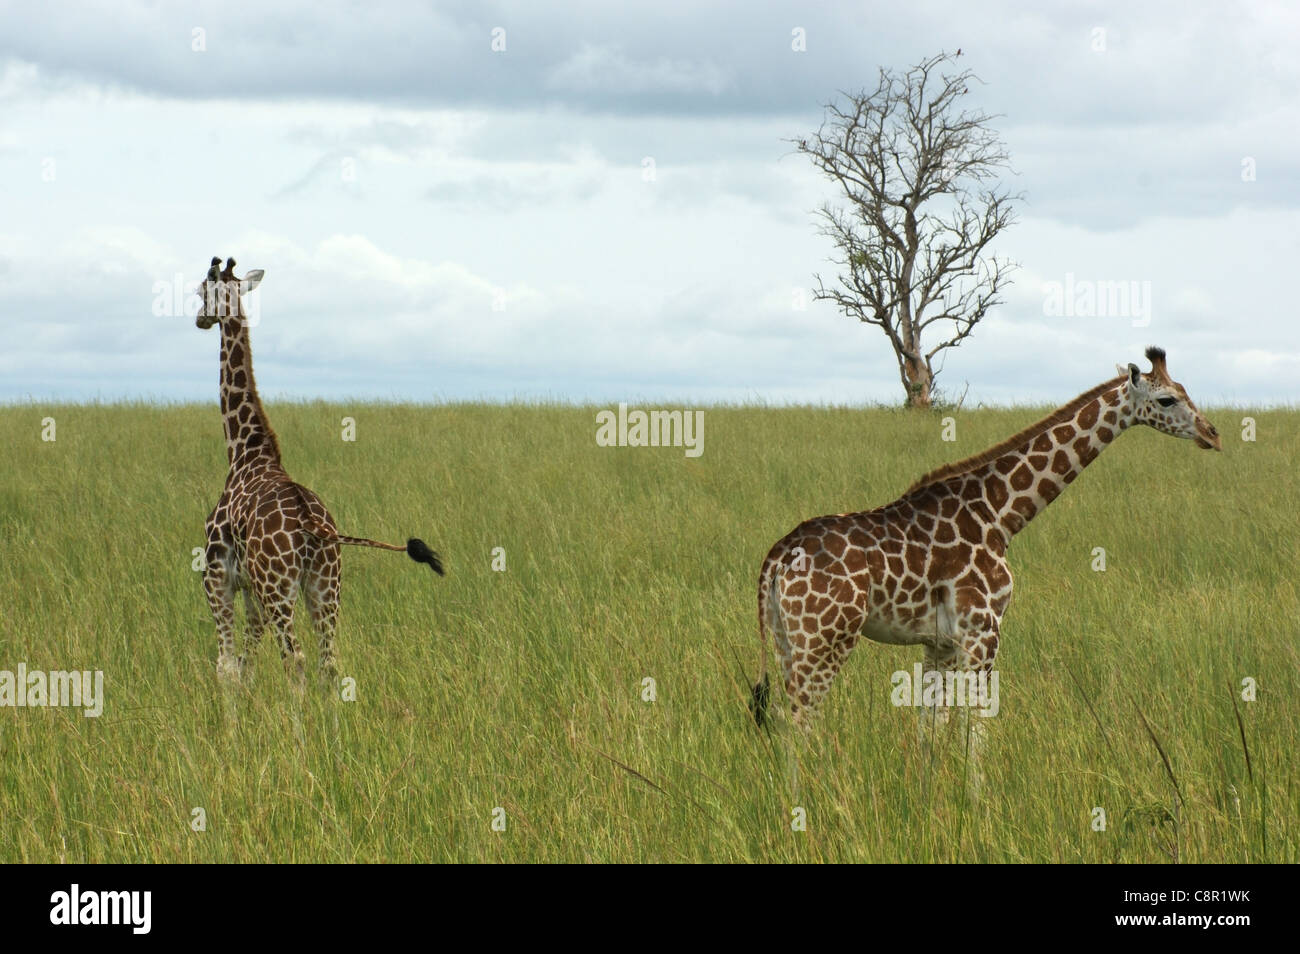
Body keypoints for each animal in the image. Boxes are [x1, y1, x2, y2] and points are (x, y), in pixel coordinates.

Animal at [194, 257, 444, 687]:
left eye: (201, 289)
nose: (199, 319)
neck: (244, 453)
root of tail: (313, 525)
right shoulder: (250, 588)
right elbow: (246, 665)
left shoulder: (218, 575)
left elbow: (227, 667)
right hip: (327, 585)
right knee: (329, 662)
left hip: (281, 588)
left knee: (295, 659)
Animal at [751, 347, 1220, 730]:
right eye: (1167, 399)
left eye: (1185, 389)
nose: (1212, 434)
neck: (1000, 514)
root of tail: (777, 557)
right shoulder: (984, 630)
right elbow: (976, 721)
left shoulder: (938, 642)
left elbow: (932, 724)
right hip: (823, 638)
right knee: (802, 718)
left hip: (785, 637)